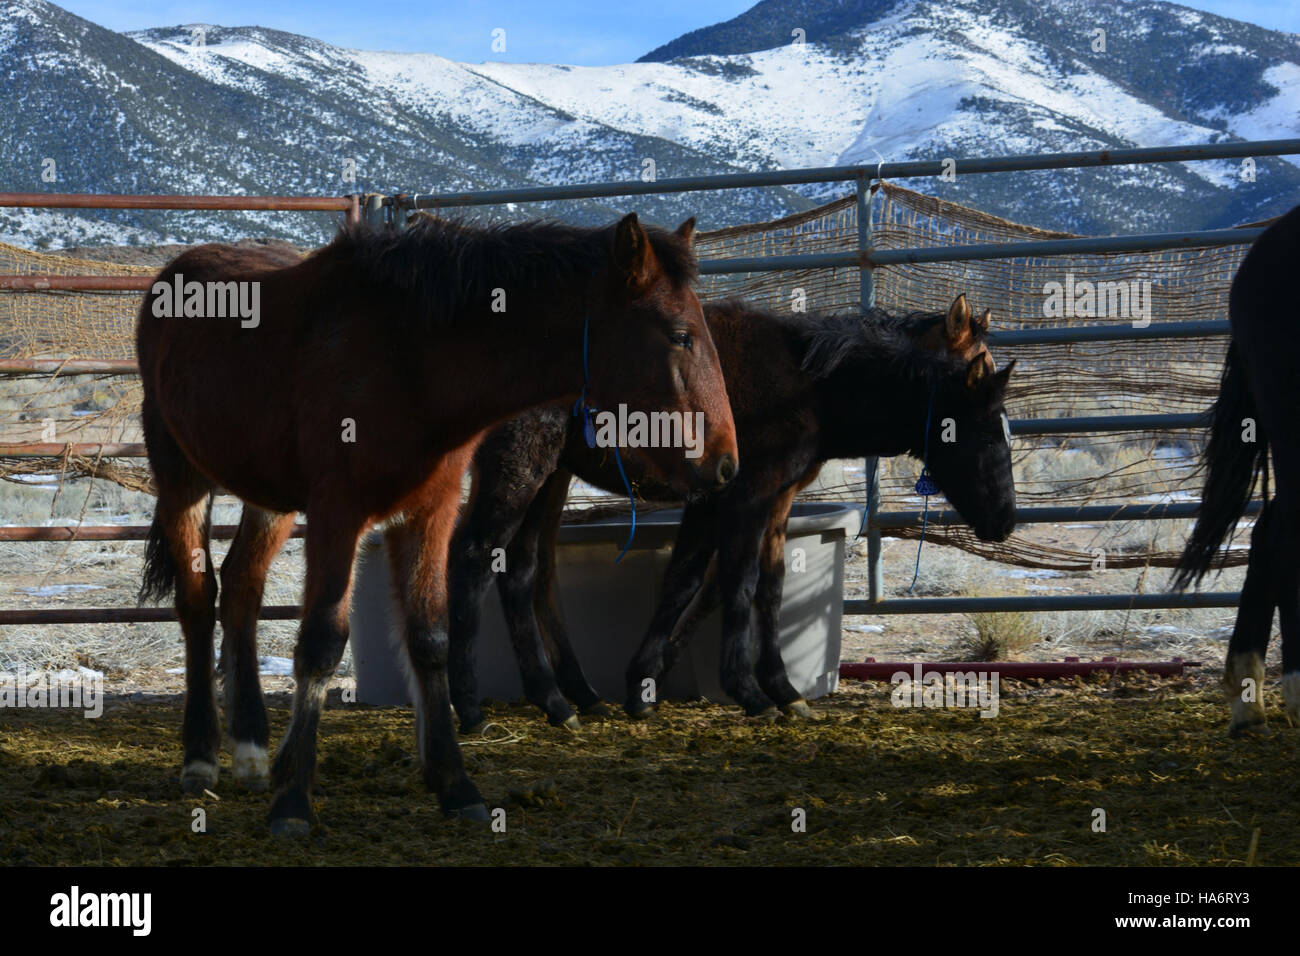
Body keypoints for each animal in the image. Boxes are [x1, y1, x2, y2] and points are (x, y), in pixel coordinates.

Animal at [135, 212, 739, 835]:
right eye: (680, 335)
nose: (724, 463)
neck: (408, 359)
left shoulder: (430, 512)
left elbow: (429, 637)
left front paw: (454, 783)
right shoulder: (337, 513)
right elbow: (323, 642)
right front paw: (294, 798)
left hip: (269, 500)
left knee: (242, 591)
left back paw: (251, 748)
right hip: (180, 477)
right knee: (198, 601)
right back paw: (201, 756)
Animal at [447, 294, 1017, 729]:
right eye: (989, 434)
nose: (1005, 521)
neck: (807, 382)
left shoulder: (765, 499)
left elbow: (739, 584)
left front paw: (774, 689)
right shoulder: (744, 495)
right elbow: (736, 584)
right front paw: (747, 692)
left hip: (549, 476)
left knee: (523, 571)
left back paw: (563, 700)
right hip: (521, 467)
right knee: (473, 558)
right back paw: (472, 708)